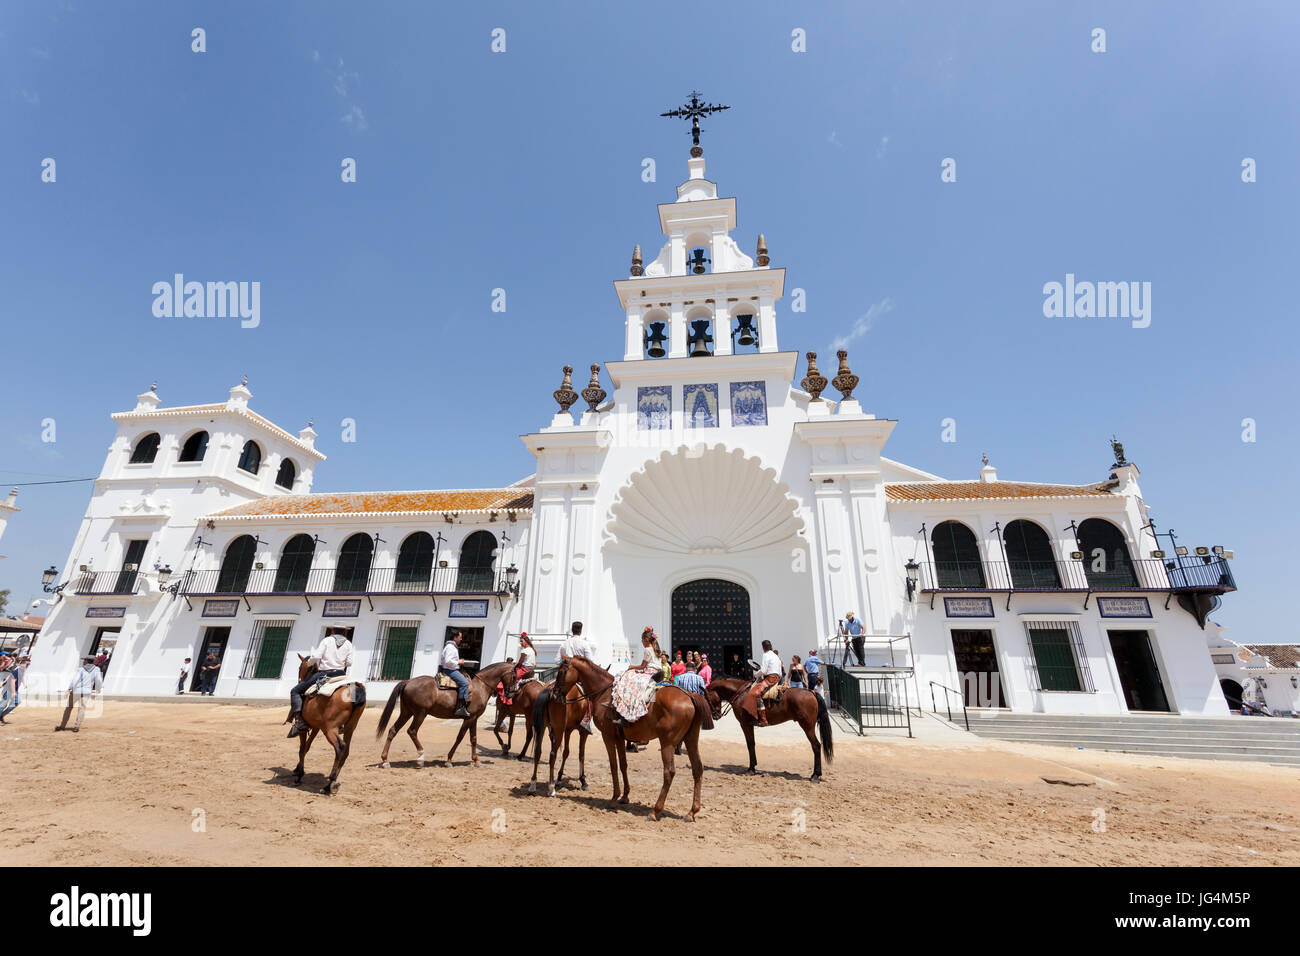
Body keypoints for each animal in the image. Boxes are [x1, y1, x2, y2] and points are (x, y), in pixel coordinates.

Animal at [287, 654, 367, 795]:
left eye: (300, 668)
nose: (299, 681)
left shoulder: (304, 728)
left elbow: (302, 749)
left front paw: (299, 775)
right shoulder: (316, 727)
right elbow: (306, 747)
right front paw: (297, 770)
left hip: (330, 729)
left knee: (340, 747)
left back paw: (331, 782)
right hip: (349, 728)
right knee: (345, 751)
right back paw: (330, 784)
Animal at [375, 659, 517, 768]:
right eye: (515, 677)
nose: (512, 693)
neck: (480, 686)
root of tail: (408, 682)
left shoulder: (474, 718)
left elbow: (473, 739)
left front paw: (476, 760)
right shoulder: (469, 718)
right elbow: (460, 737)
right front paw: (448, 760)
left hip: (406, 712)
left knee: (393, 730)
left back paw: (385, 760)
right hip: (420, 713)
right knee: (412, 731)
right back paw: (420, 757)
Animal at [554, 656, 713, 821]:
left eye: (561, 672)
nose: (555, 694)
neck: (604, 692)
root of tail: (690, 695)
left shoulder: (608, 736)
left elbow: (613, 765)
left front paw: (614, 798)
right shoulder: (619, 738)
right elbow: (623, 765)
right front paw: (624, 796)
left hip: (667, 743)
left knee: (669, 772)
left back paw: (655, 811)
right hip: (691, 739)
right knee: (697, 769)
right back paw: (692, 811)